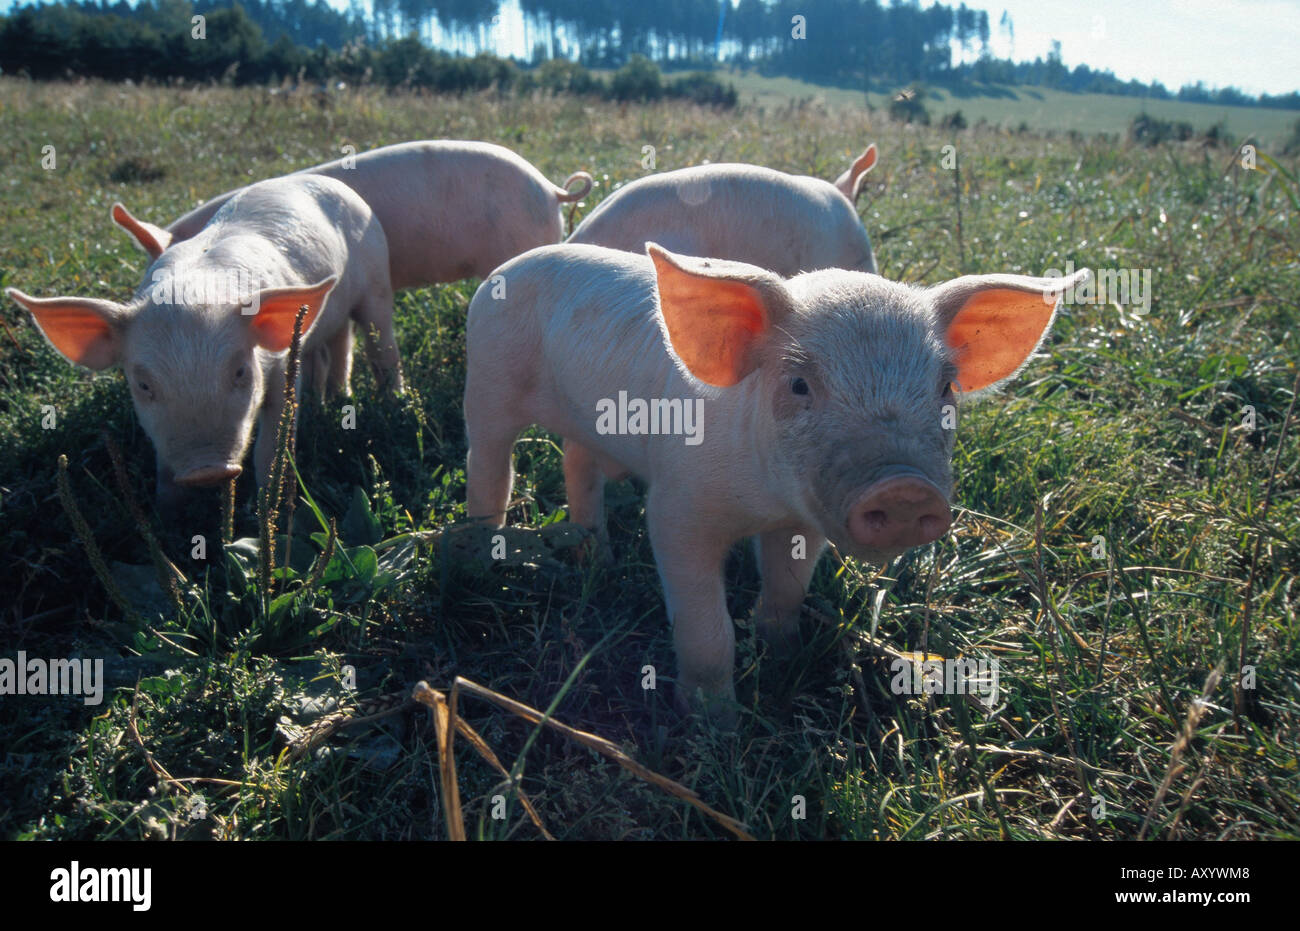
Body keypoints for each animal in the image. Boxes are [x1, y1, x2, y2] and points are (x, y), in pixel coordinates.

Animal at [7, 174, 401, 506]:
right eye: (143, 385)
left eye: (241, 372)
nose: (206, 470)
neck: (192, 289)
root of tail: (332, 181)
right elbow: (163, 463)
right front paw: (166, 514)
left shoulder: (281, 365)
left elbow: (272, 442)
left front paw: (270, 505)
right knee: (339, 343)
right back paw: (334, 400)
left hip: (378, 285)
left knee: (381, 345)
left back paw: (391, 403)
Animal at [463, 242, 1089, 722]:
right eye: (798, 384)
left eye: (944, 388)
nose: (904, 488)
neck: (763, 500)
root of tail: (507, 267)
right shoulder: (677, 510)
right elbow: (708, 628)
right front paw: (714, 725)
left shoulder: (803, 520)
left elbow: (787, 589)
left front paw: (784, 653)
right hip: (488, 383)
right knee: (489, 464)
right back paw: (483, 553)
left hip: (582, 424)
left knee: (578, 462)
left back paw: (598, 559)